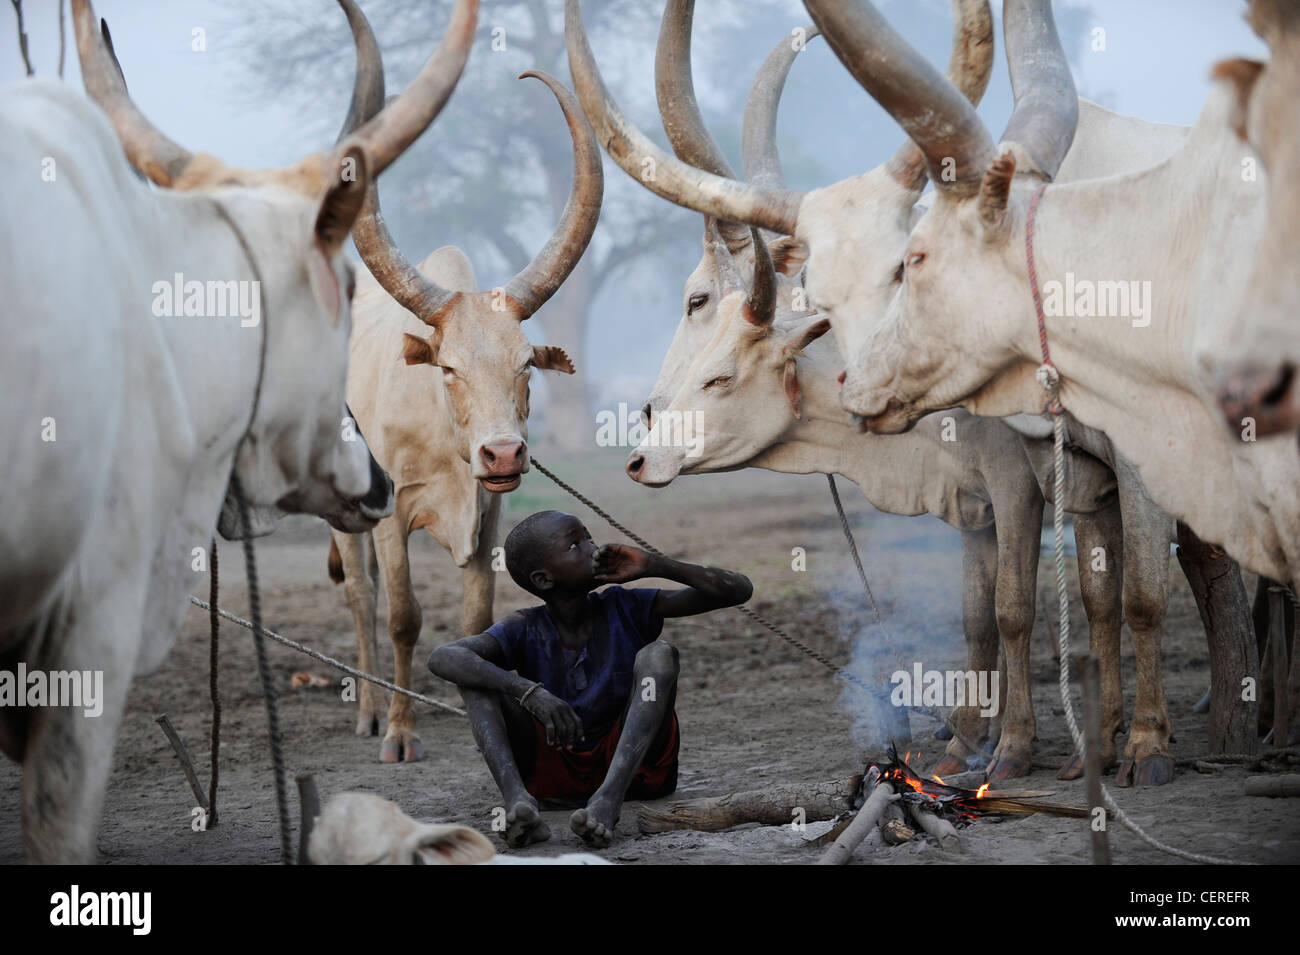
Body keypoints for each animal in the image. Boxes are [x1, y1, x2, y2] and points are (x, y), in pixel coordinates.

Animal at [325, 3, 602, 762]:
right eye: (447, 367)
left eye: (527, 363)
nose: (503, 452)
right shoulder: (392, 512)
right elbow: (403, 615)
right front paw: (398, 730)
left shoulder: (488, 516)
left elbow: (477, 614)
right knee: (359, 595)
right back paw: (366, 710)